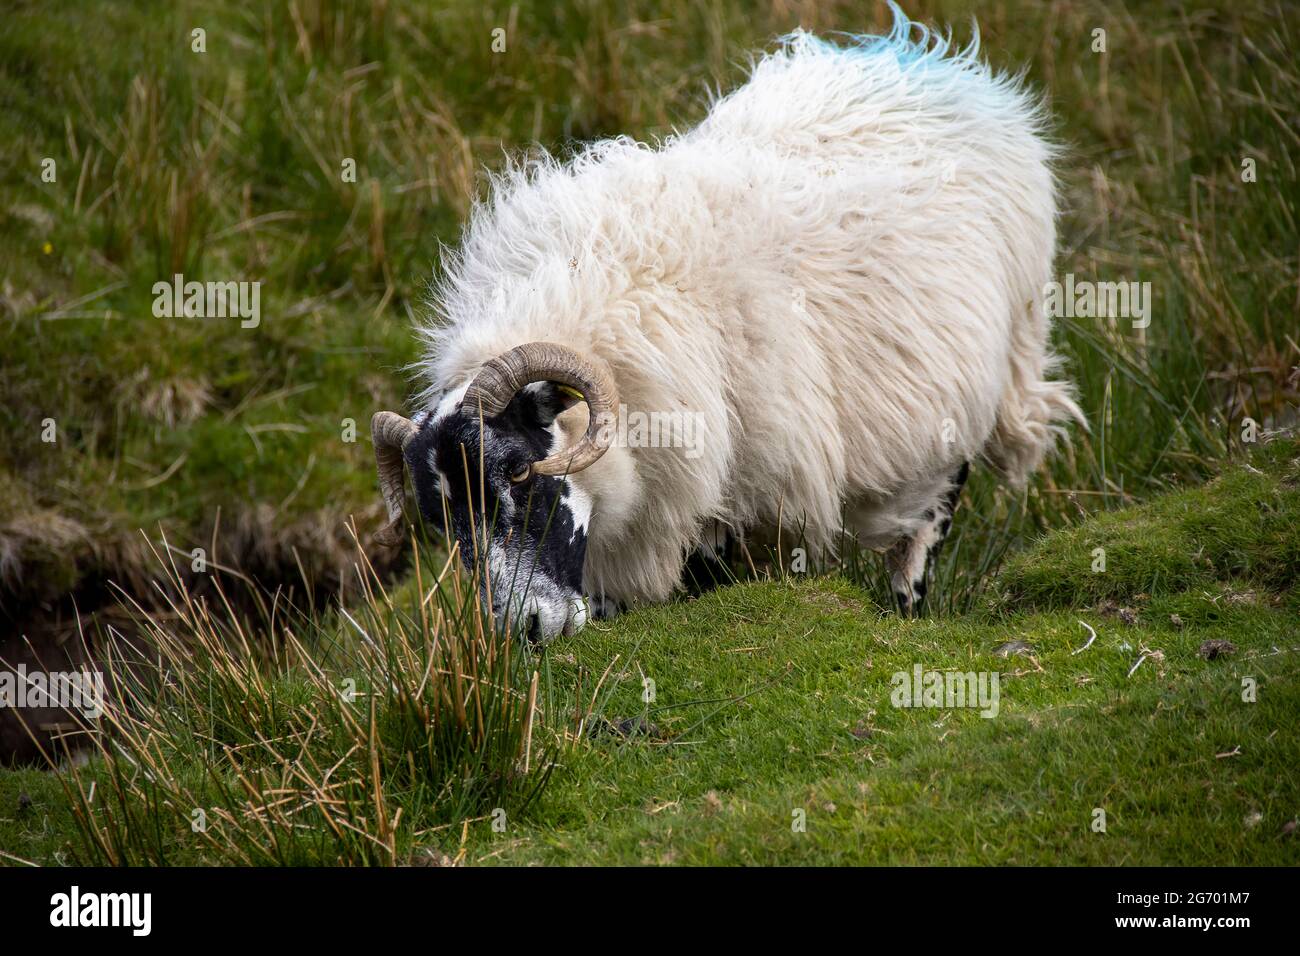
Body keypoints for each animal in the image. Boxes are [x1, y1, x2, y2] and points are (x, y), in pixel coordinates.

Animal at [370, 5, 1084, 641]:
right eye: (439, 518)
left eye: (518, 471)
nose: (525, 630)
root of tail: (929, 58)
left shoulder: (740, 494)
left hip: (969, 400)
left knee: (925, 530)